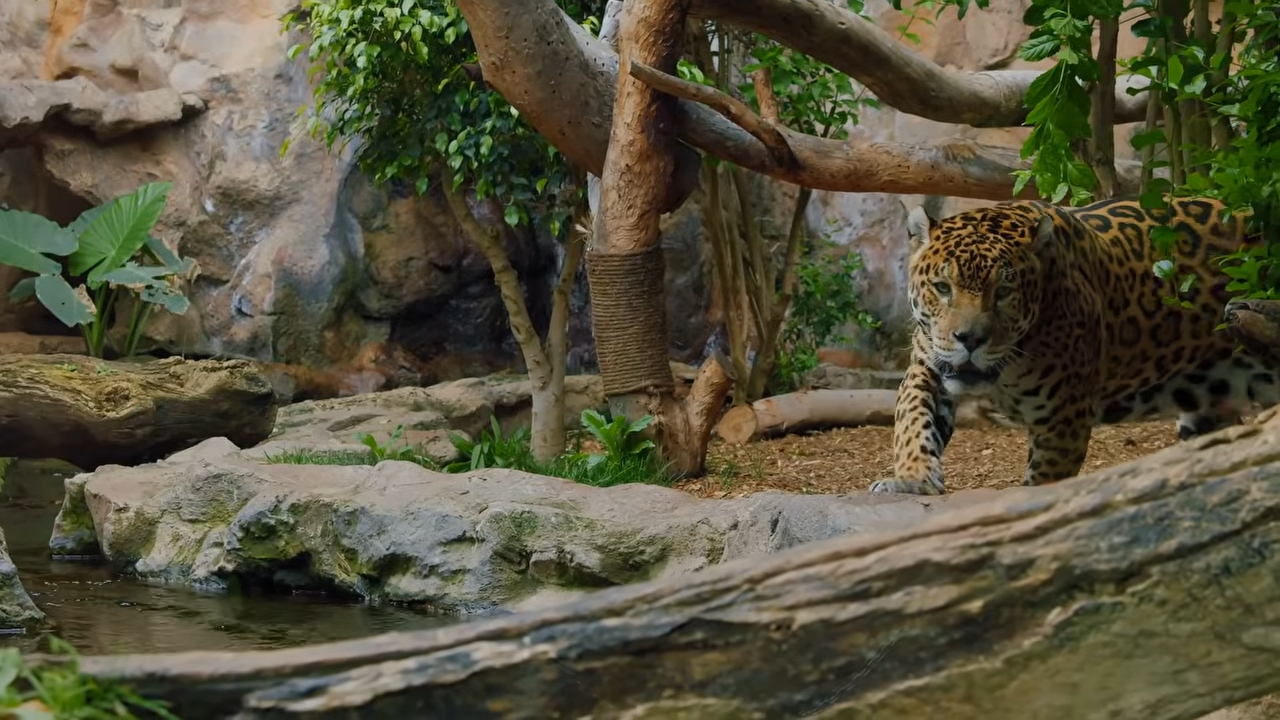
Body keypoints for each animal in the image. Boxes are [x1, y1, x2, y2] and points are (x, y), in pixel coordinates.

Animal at [869, 196, 1280, 496]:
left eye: (1003, 292)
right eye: (943, 288)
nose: (970, 339)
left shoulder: (1064, 416)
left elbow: (1045, 481)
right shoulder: (927, 368)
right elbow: (912, 422)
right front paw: (911, 479)